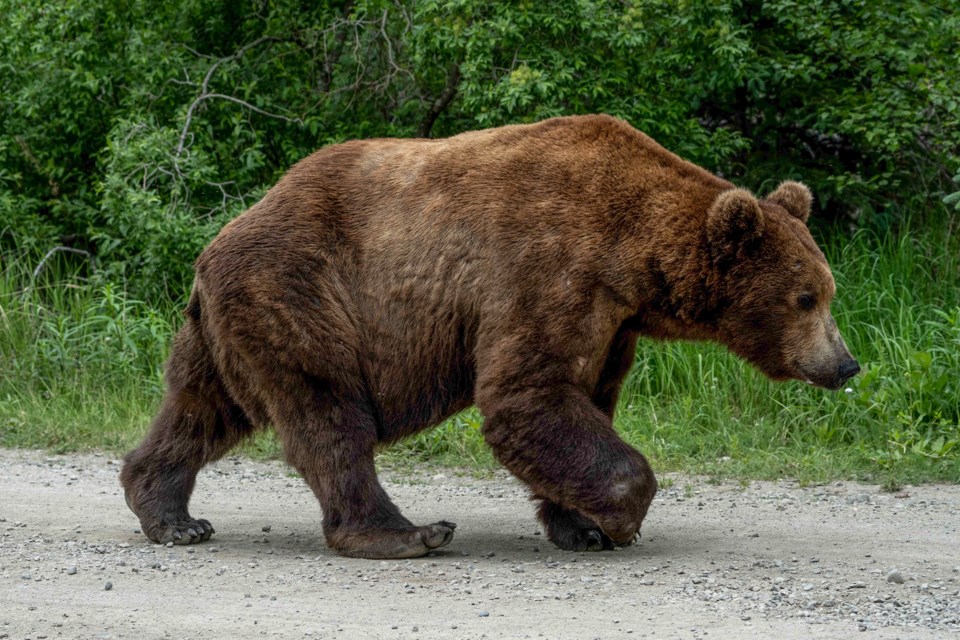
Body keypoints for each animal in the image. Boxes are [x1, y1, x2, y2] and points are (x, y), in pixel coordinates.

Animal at [120, 114, 859, 558]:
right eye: (805, 297)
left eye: (827, 290)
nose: (846, 363)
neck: (630, 255)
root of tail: (215, 245)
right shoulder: (546, 270)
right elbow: (525, 396)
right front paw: (619, 518)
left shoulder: (611, 322)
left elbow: (584, 402)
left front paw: (579, 524)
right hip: (300, 297)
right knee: (327, 415)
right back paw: (408, 531)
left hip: (223, 328)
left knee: (200, 410)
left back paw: (171, 514)